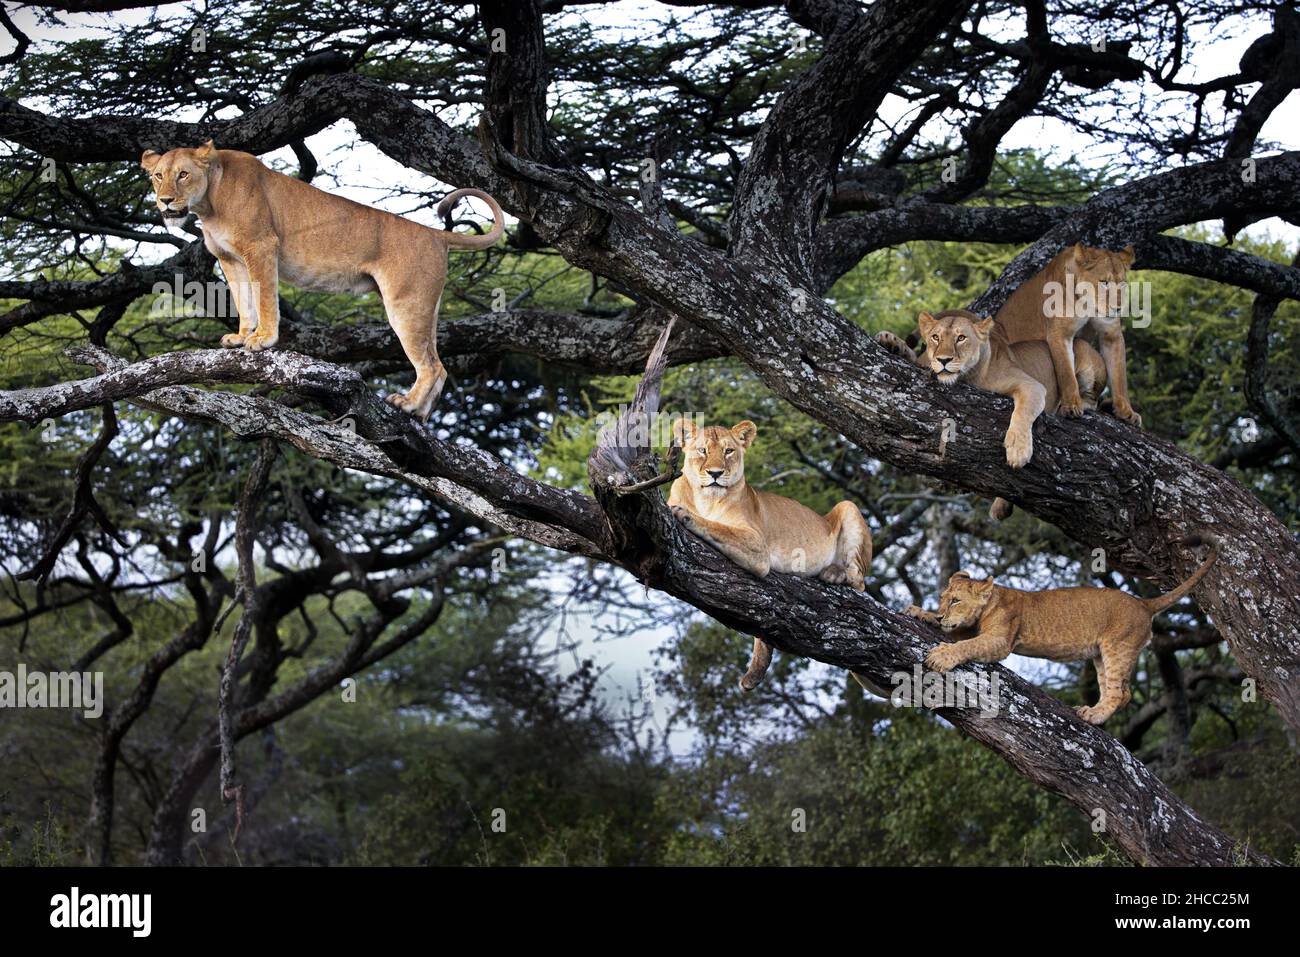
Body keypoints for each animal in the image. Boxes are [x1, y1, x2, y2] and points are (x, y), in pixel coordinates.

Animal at [140, 140, 504, 420]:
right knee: (439, 365)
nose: (165, 200)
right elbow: (244, 302)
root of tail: (435, 234)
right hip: (426, 306)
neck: (209, 202)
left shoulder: (262, 246)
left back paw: (408, 404)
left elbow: (264, 298)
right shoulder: (230, 260)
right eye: (158, 176)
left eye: (183, 174)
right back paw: (420, 413)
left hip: (406, 302)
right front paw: (241, 336)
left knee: (430, 365)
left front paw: (263, 339)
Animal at [667, 418, 873, 691]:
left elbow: (717, 526)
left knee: (859, 581)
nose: (715, 474)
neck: (706, 499)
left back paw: (834, 573)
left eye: (728, 451)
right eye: (702, 450)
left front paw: (685, 515)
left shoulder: (757, 545)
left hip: (847, 506)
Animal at [876, 308, 1106, 519]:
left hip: (1084, 358)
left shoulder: (1031, 386)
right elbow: (914, 359)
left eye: (961, 338)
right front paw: (891, 342)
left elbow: (1022, 413)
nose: (943, 360)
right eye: (935, 337)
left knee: (1091, 397)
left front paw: (1017, 451)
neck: (968, 378)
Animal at [905, 532, 1218, 725]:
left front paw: (941, 656)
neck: (991, 602)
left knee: (1120, 693)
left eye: (955, 601)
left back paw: (1094, 716)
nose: (942, 615)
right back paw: (1092, 711)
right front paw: (920, 613)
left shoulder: (1001, 640)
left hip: (1118, 646)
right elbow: (956, 634)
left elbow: (966, 645)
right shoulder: (970, 629)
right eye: (943, 599)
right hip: (1100, 655)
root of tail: (1143, 603)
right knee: (1118, 690)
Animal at [994, 242, 1140, 426]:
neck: (1087, 304)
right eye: (1104, 282)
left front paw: (1126, 412)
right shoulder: (1060, 333)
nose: (1118, 308)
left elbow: (1120, 377)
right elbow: (1067, 374)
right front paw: (1071, 406)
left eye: (1122, 284)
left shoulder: (1111, 334)